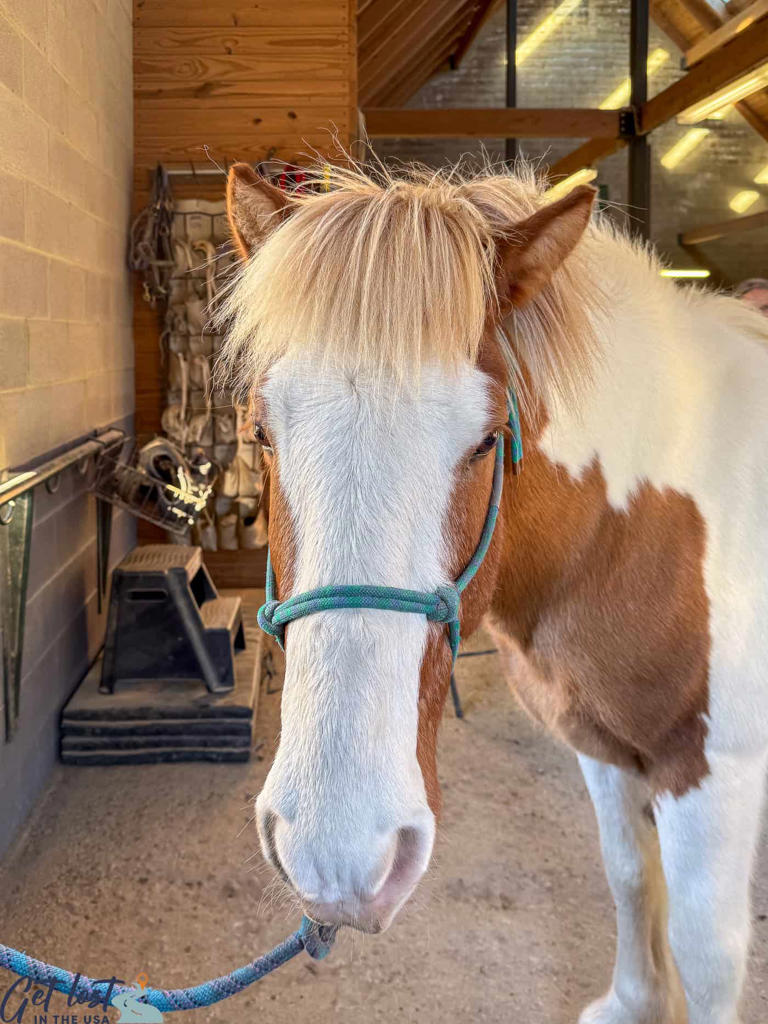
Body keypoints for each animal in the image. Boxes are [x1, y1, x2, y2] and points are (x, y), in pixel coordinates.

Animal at [218, 157, 768, 1024]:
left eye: (485, 441)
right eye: (263, 433)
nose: (338, 856)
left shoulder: (716, 771)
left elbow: (708, 954)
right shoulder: (605, 748)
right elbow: (629, 876)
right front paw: (633, 1003)